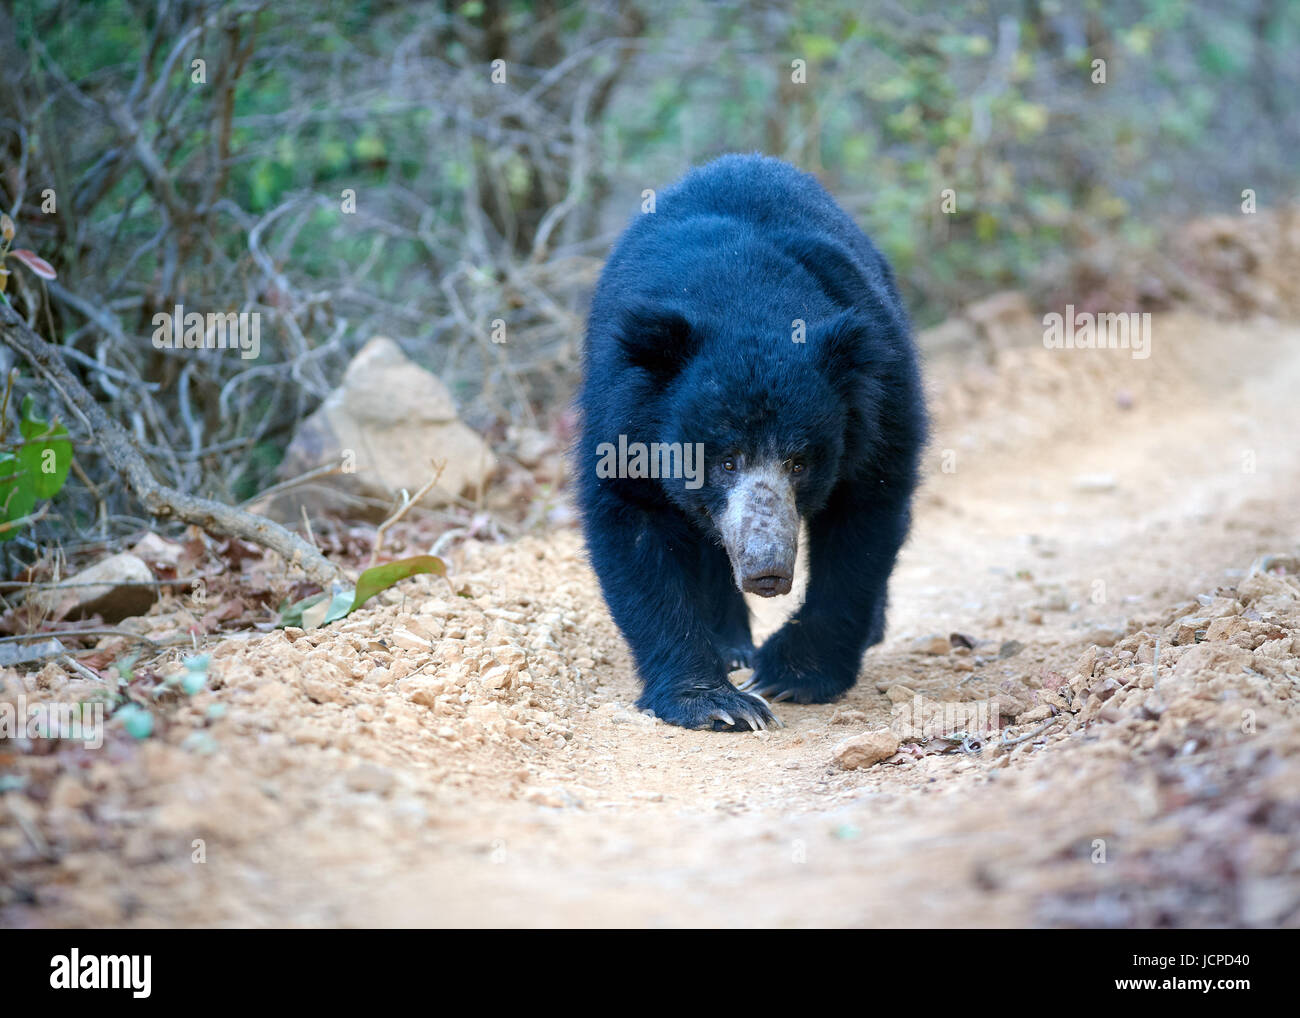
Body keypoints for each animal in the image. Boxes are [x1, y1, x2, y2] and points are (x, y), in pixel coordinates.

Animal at [575, 154, 927, 731]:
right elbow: (631, 519)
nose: (767, 570)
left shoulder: (881, 403)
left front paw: (791, 676)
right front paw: (718, 703)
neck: (745, 297)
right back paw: (731, 647)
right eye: (725, 462)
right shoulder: (623, 409)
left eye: (800, 462)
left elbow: (865, 515)